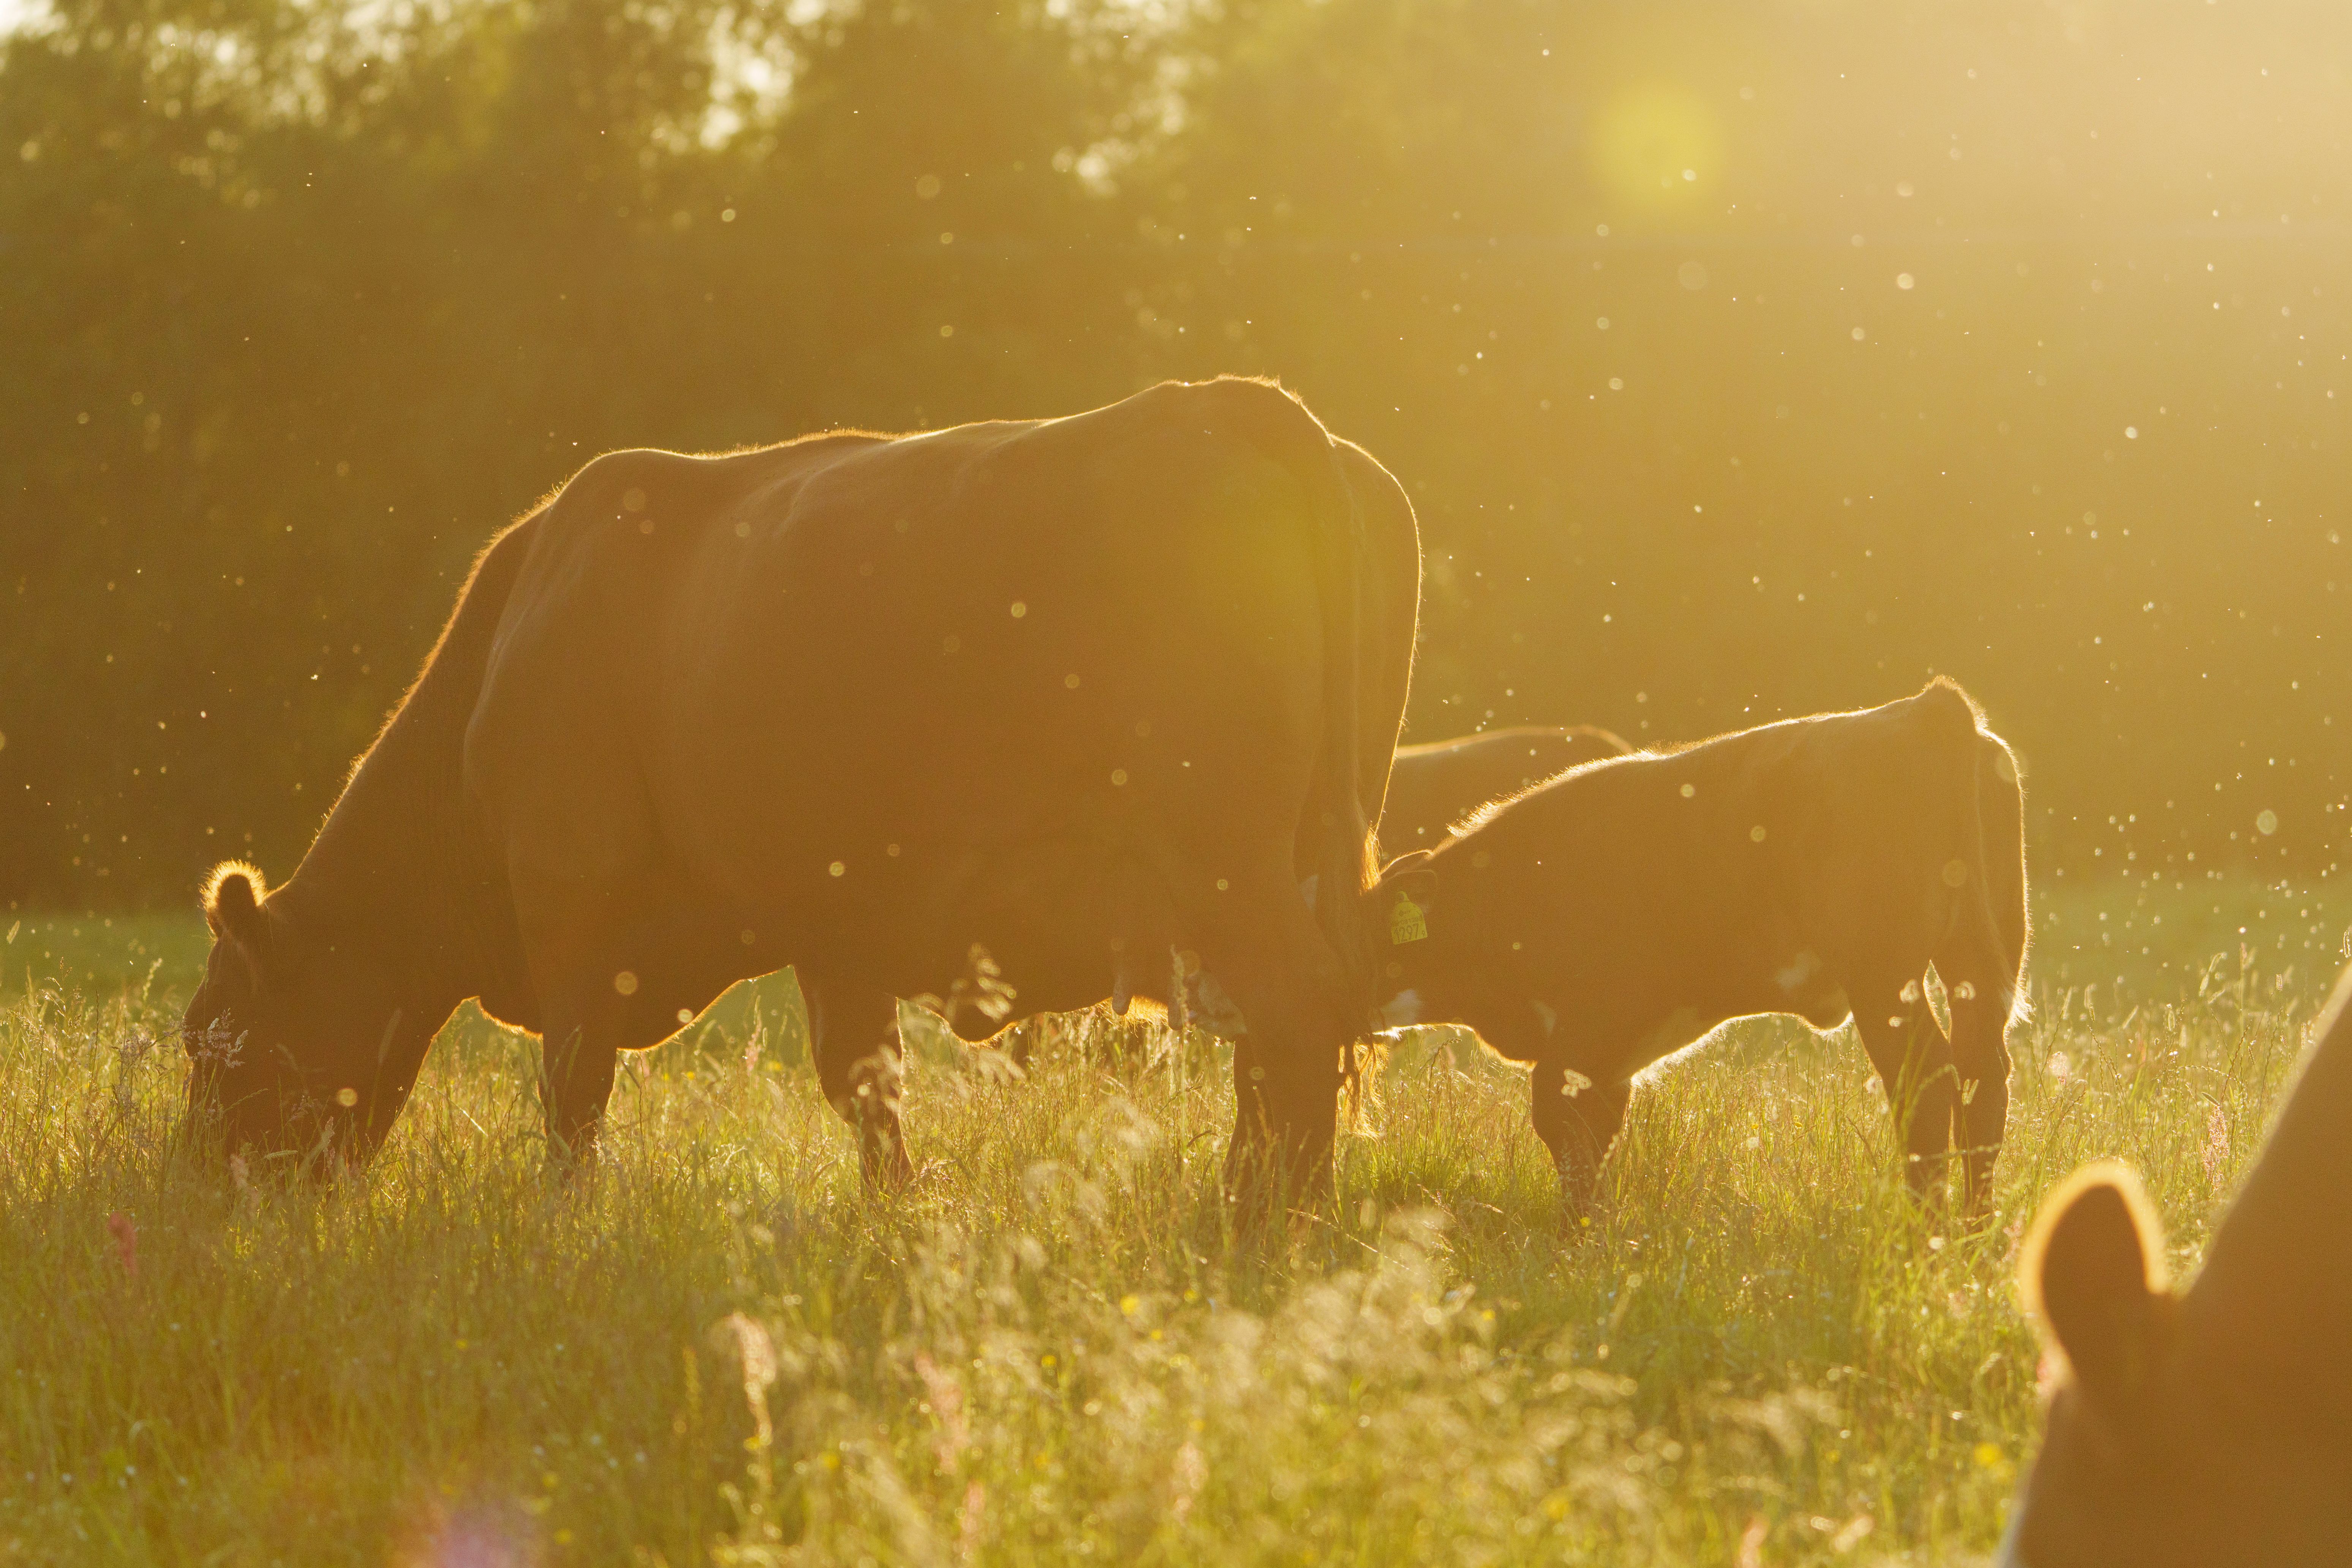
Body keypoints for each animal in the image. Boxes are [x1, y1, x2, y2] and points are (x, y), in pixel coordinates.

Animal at [181, 377, 1421, 1201]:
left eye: (212, 1039)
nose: (202, 1193)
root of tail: (1214, 402)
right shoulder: (840, 929)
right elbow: (865, 1090)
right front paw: (898, 1211)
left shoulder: (577, 917)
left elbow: (572, 1098)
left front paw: (560, 1223)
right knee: (1285, 1040)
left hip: (1226, 864)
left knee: (1294, 1019)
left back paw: (1260, 1216)